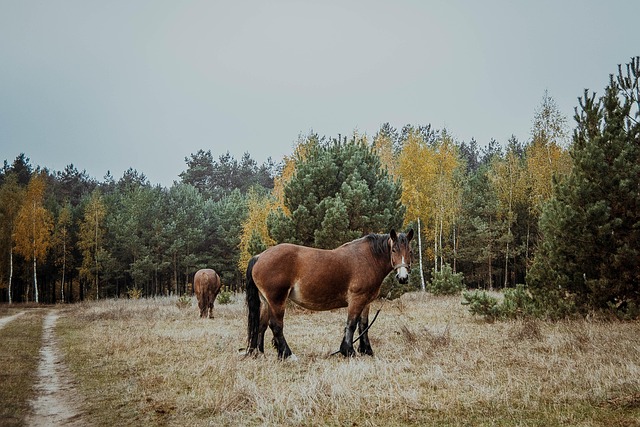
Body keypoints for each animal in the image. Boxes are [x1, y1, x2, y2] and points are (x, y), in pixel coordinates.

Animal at [245, 229, 413, 359]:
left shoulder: (366, 301)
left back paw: (259, 353)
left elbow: (363, 325)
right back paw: (287, 354)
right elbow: (351, 324)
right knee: (276, 326)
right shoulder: (357, 299)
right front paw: (348, 351)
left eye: (410, 251)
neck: (368, 258)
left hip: (266, 301)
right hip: (277, 300)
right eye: (394, 250)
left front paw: (367, 351)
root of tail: (259, 257)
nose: (403, 277)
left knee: (261, 325)